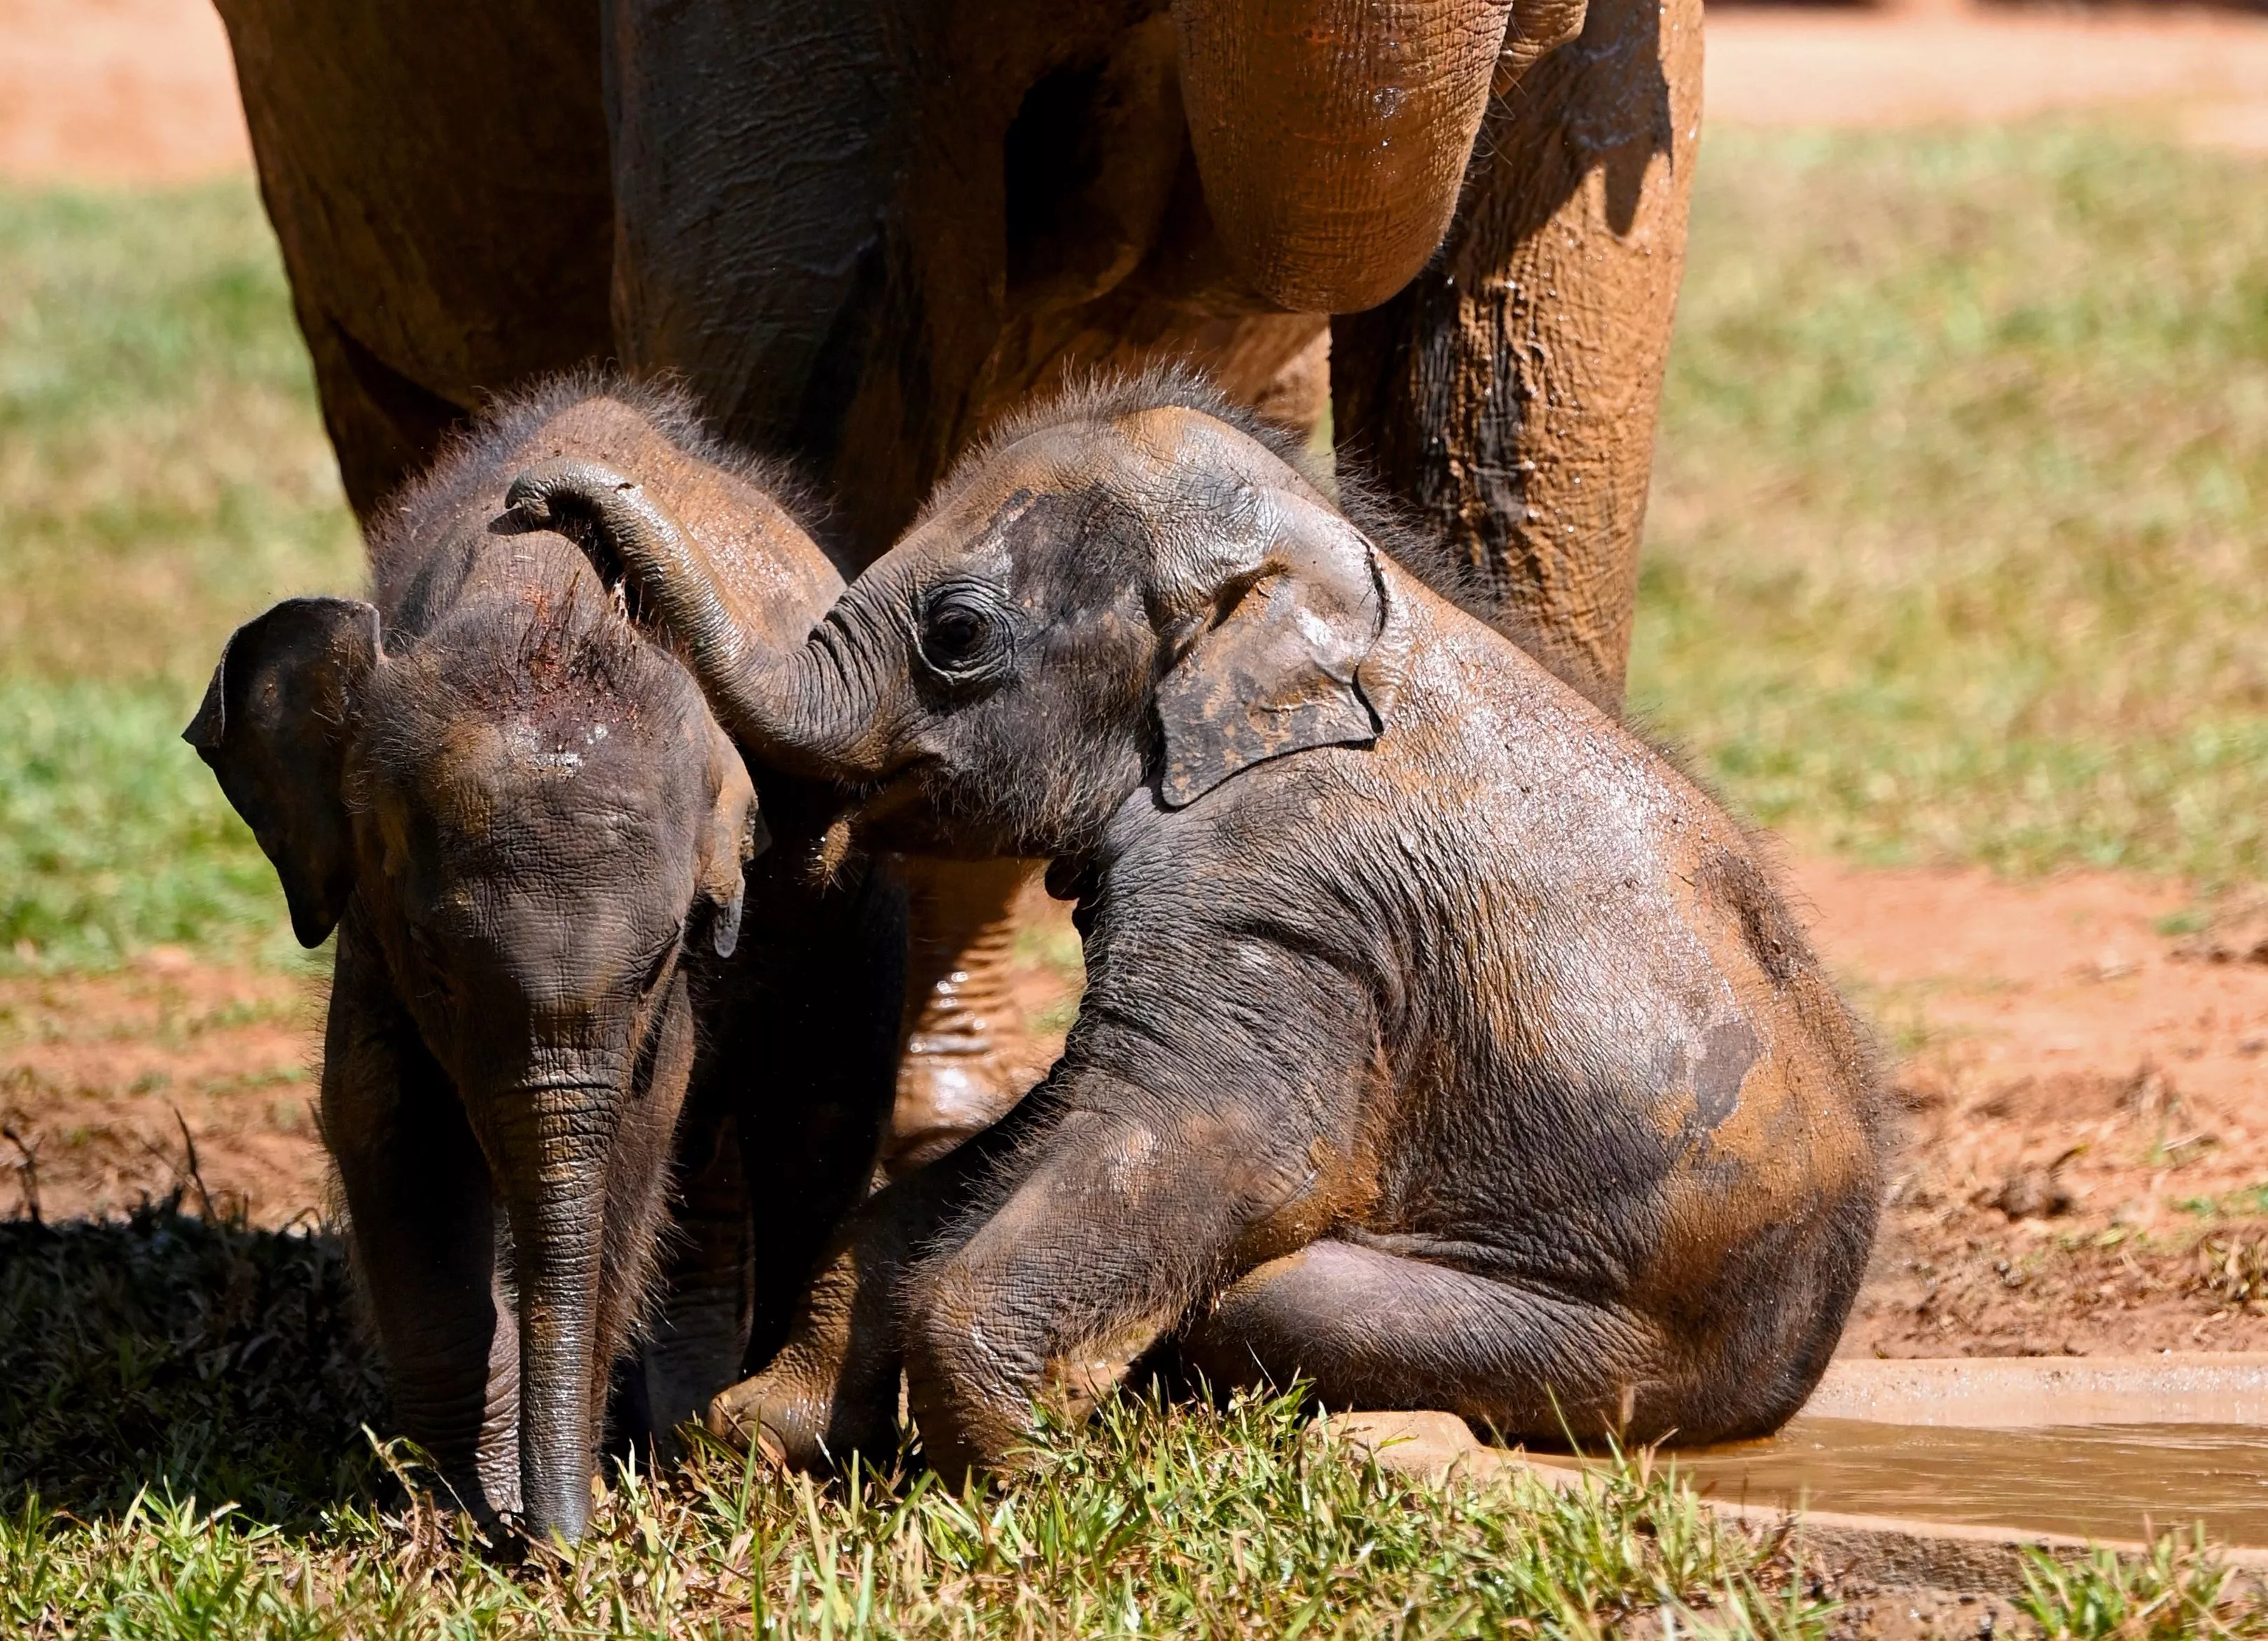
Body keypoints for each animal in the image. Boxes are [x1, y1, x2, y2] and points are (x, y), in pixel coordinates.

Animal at [186, 382, 905, 1541]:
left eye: (661, 958)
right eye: (434, 962)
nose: (562, 1538)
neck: (542, 600)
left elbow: (637, 1133)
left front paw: (536, 1508)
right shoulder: (367, 916)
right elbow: (380, 1114)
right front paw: (459, 1510)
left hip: (859, 903)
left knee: (815, 1121)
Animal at [502, 372, 1888, 1479]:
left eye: (956, 634)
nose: (536, 498)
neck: (1315, 577)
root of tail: (1792, 1376)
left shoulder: (1284, 885)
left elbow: (1228, 1138)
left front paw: (1022, 1477)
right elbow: (1068, 1113)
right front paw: (759, 1439)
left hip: (1611, 1342)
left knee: (1270, 1297)